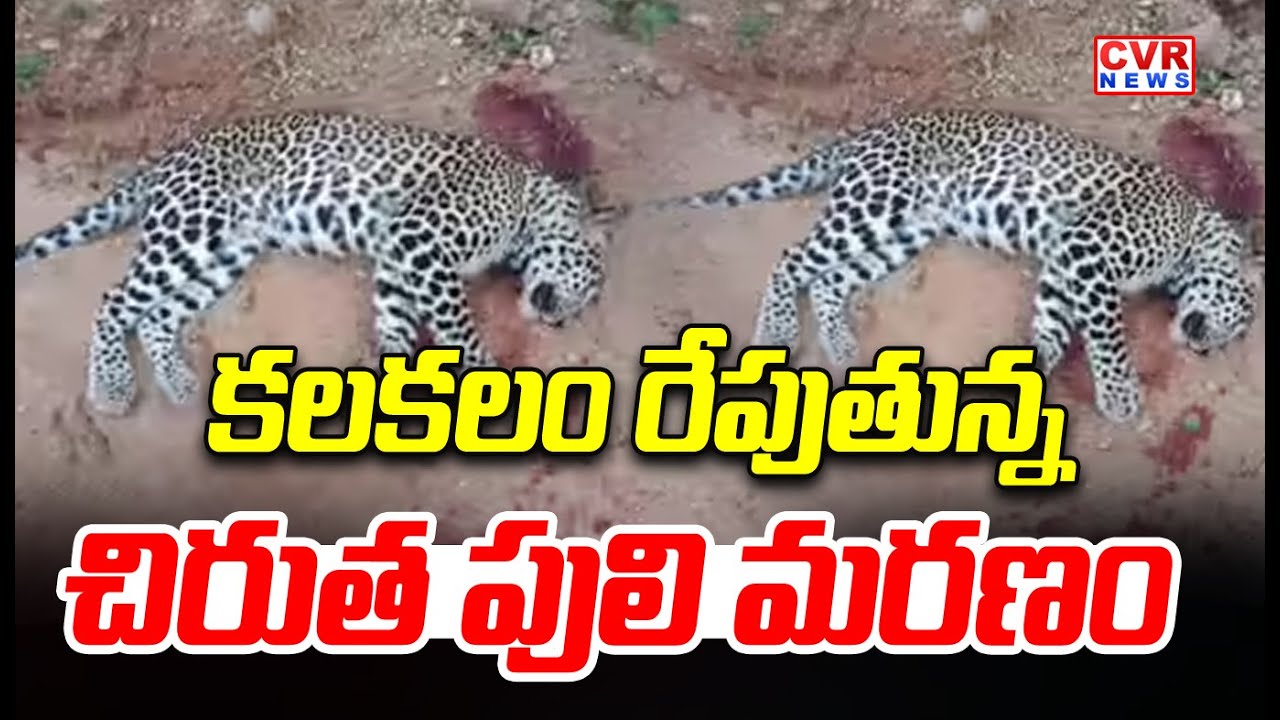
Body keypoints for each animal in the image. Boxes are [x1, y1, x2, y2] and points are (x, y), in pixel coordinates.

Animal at [14, 111, 624, 417]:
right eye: (589, 286)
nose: (558, 320)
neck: (528, 197)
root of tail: (172, 155)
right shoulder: (420, 240)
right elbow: (459, 327)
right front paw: (488, 379)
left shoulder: (398, 260)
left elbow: (395, 330)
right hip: (192, 224)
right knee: (115, 300)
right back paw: (111, 388)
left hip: (224, 253)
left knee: (155, 315)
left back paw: (180, 384)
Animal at [646, 108, 1258, 425]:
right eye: (1239, 319)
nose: (1204, 348)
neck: (1198, 227)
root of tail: (871, 132)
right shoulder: (1086, 251)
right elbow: (1108, 339)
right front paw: (1120, 399)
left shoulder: (1062, 271)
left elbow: (1049, 332)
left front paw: (1017, 386)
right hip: (877, 201)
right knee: (793, 258)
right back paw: (775, 333)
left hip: (901, 232)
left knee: (827, 278)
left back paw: (841, 346)